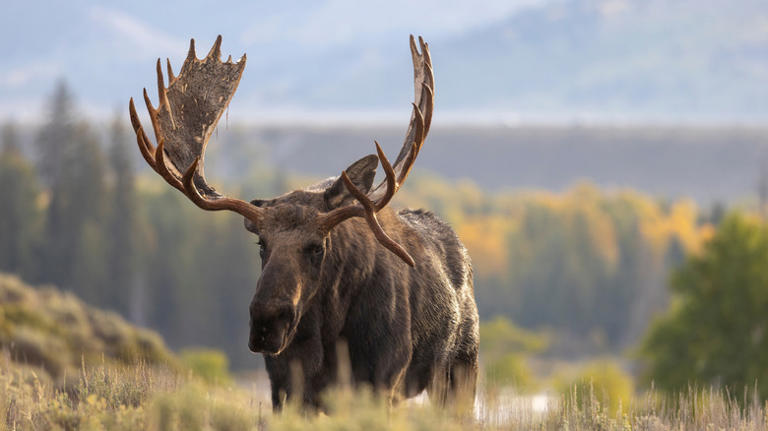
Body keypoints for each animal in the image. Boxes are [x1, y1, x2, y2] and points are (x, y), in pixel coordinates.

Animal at [128, 35, 479, 411]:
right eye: (261, 243)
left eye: (317, 247)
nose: (266, 323)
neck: (329, 339)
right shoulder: (285, 389)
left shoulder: (383, 381)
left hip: (460, 367)